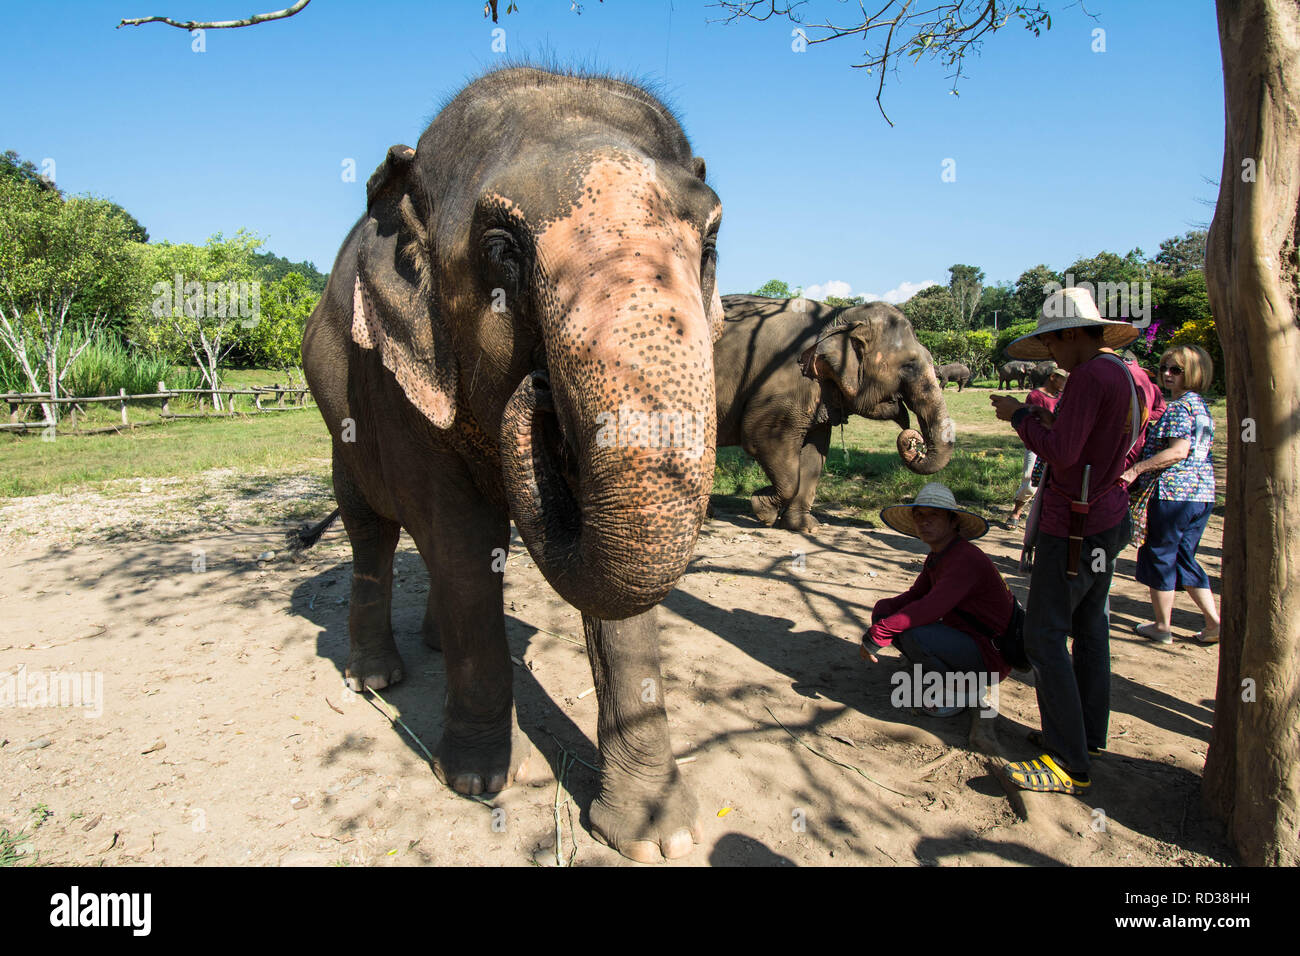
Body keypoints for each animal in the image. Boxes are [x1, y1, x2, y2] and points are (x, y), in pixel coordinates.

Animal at [301, 67, 724, 863]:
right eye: (501, 251)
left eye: (711, 242)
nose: (539, 390)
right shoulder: (403, 384)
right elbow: (461, 541)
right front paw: (480, 781)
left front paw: (660, 834)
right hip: (339, 421)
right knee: (372, 527)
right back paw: (376, 677)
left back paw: (432, 643)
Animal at [714, 294, 955, 532]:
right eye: (909, 365)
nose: (915, 444)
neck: (839, 318)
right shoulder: (786, 382)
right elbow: (760, 437)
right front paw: (763, 508)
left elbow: (816, 451)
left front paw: (806, 527)